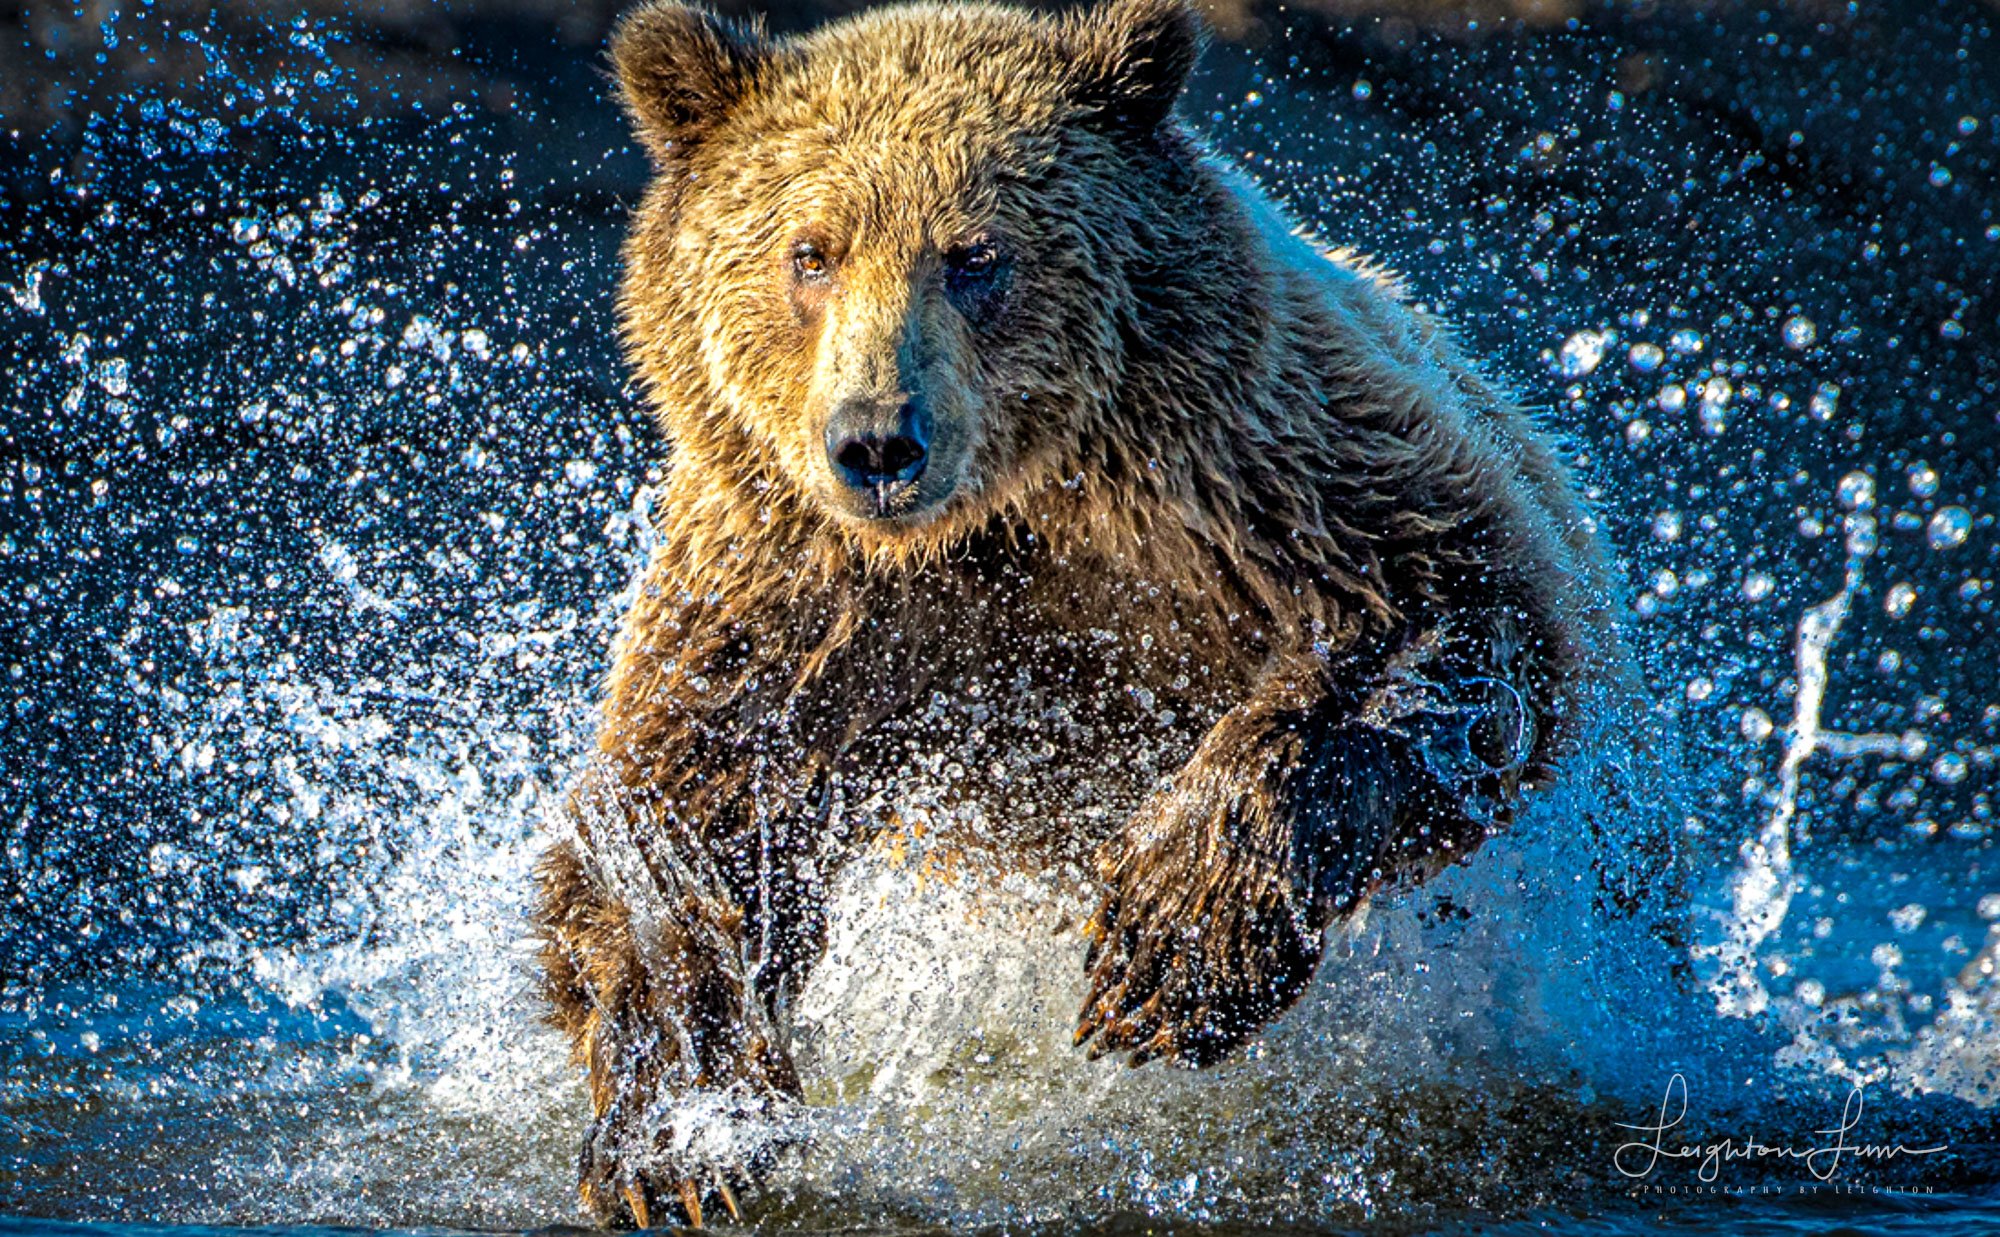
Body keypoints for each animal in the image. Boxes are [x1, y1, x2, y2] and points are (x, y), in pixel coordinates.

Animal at [534, 0, 1628, 1225]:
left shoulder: (1273, 490)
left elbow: (1441, 635)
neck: (1014, 509)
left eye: (975, 254)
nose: (876, 442)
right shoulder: (794, 593)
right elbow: (686, 820)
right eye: (809, 252)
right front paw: (678, 1137)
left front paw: (1170, 948)